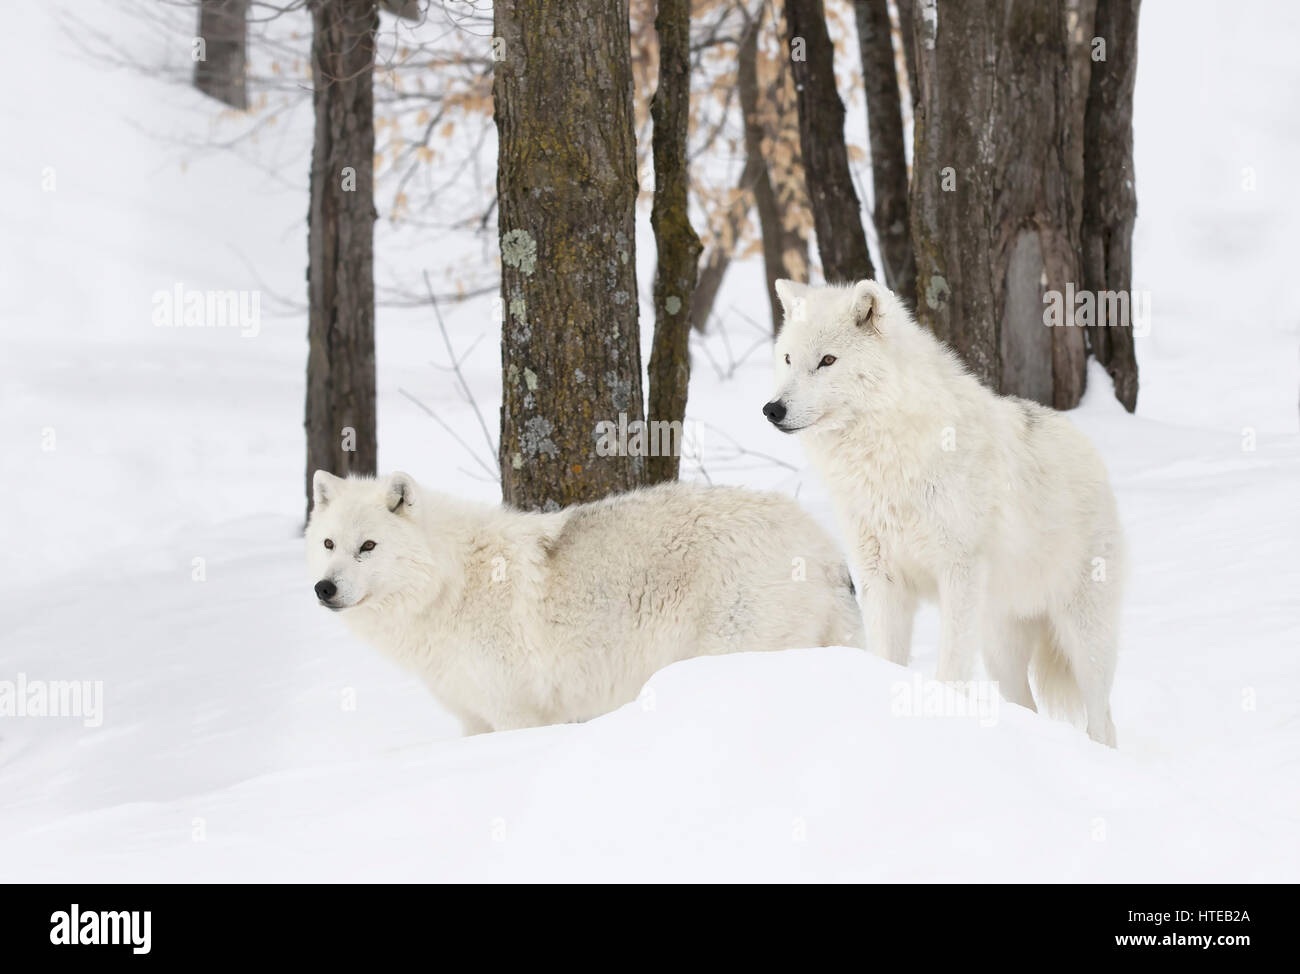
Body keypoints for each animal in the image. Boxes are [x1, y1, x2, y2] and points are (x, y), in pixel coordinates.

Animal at [307, 472, 863, 734]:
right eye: (329, 544)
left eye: (368, 546)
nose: (324, 589)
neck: (450, 584)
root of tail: (823, 545)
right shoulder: (472, 719)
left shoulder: (518, 717)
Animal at [763, 279, 1124, 746]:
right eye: (788, 358)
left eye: (827, 361)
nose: (773, 409)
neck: (886, 457)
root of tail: (1087, 445)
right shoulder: (879, 578)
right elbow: (886, 655)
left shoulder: (958, 573)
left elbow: (950, 668)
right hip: (1001, 649)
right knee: (1027, 706)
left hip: (1083, 639)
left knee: (1102, 721)